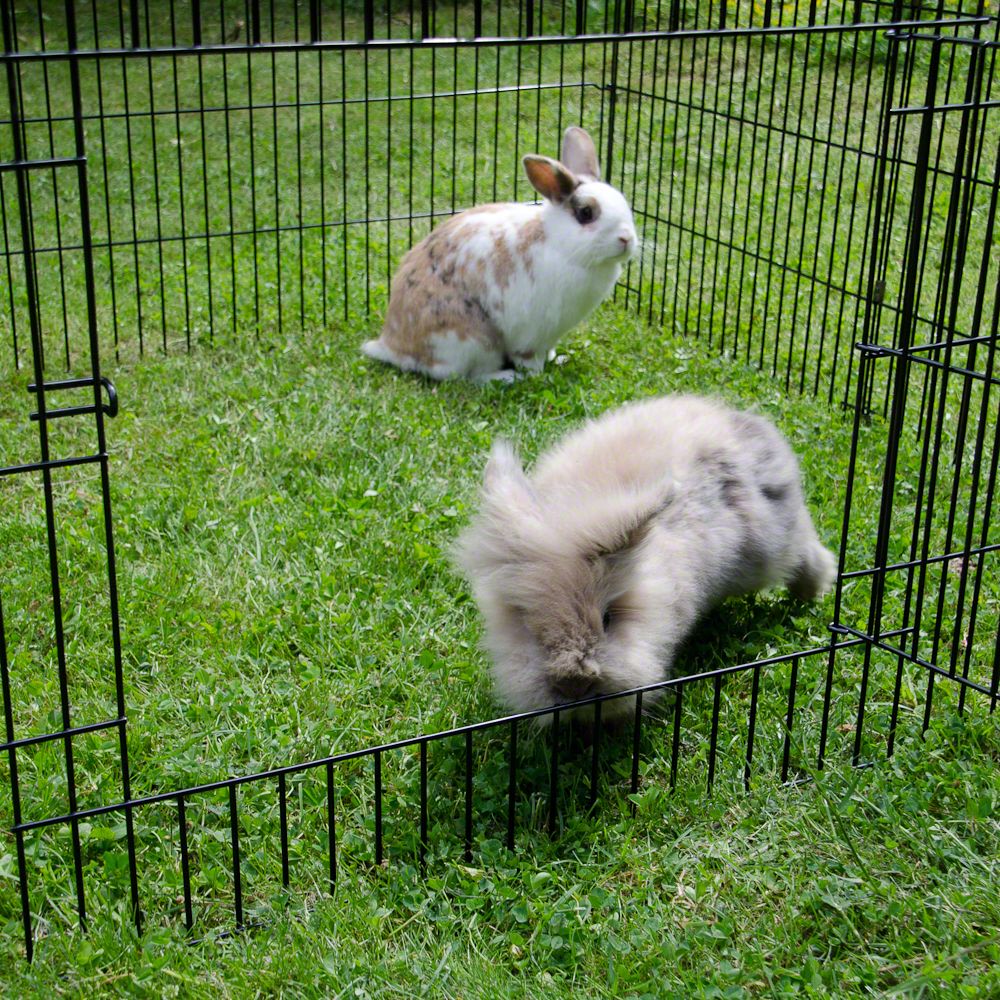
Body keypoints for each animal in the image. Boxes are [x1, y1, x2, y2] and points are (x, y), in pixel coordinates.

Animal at [362, 127, 637, 382]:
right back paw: (507, 377)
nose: (627, 239)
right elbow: (529, 359)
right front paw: (537, 375)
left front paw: (554, 357)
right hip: (476, 341)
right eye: (586, 213)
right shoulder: (532, 334)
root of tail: (392, 346)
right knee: (467, 376)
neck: (562, 246)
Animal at [455, 395, 837, 721]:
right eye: (527, 623)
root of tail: (737, 420)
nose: (573, 684)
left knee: (805, 548)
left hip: (772, 543)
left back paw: (815, 589)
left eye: (608, 618)